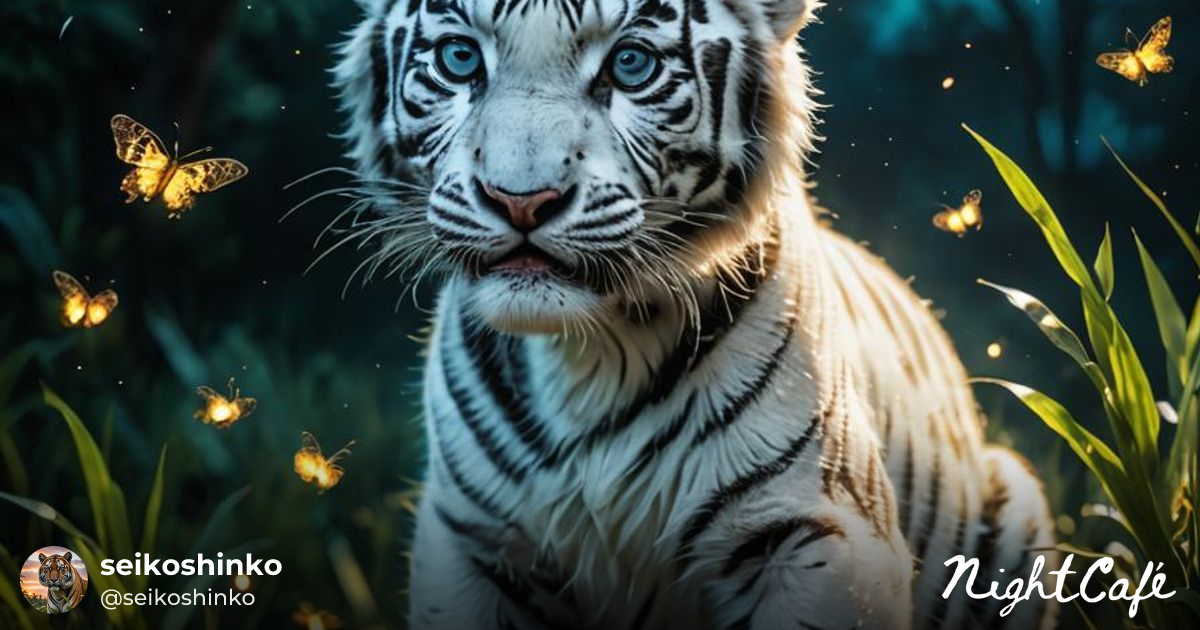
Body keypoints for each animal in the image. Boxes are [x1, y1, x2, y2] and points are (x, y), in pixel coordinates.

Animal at [332, 0, 1058, 628]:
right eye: (459, 59)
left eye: (631, 64)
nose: (521, 200)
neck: (588, 351)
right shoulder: (469, 539)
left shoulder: (819, 527)